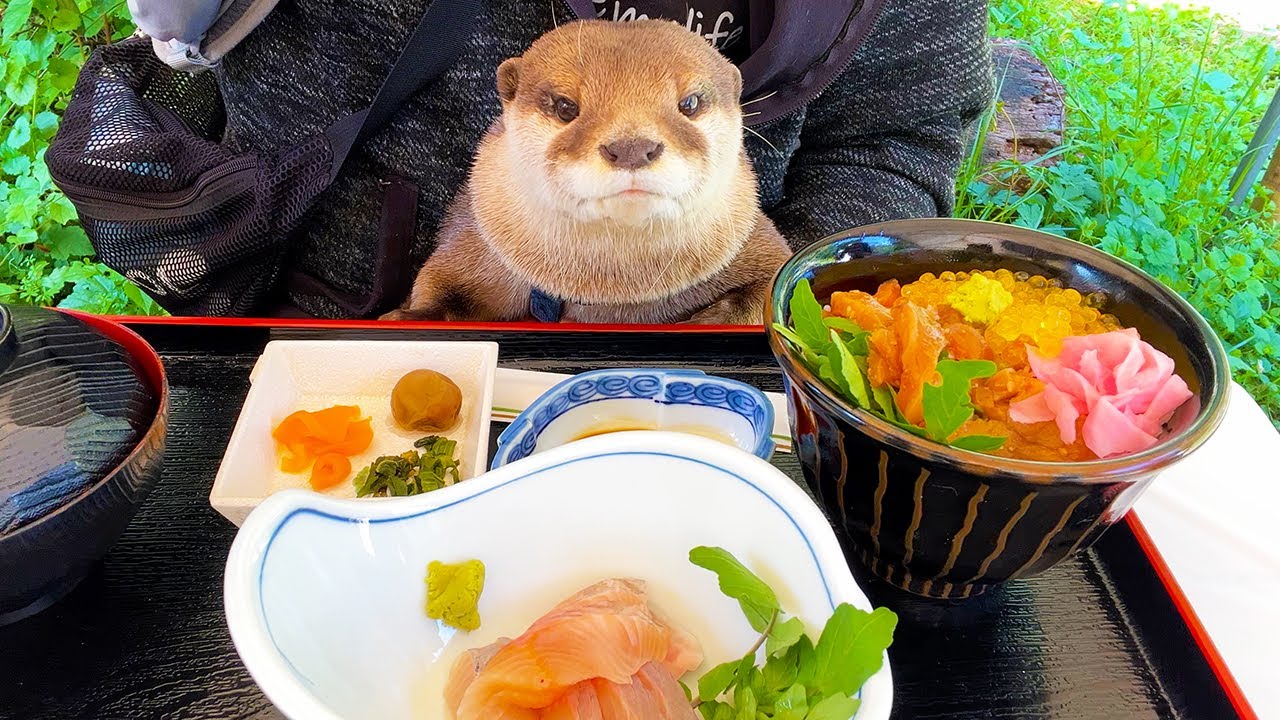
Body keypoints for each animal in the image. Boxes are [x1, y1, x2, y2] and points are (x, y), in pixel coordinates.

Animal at [383, 19, 792, 324]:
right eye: (566, 106)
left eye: (689, 103)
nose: (631, 147)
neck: (606, 289)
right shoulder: (470, 241)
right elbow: (436, 288)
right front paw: (404, 317)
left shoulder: (754, 241)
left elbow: (764, 295)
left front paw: (708, 318)